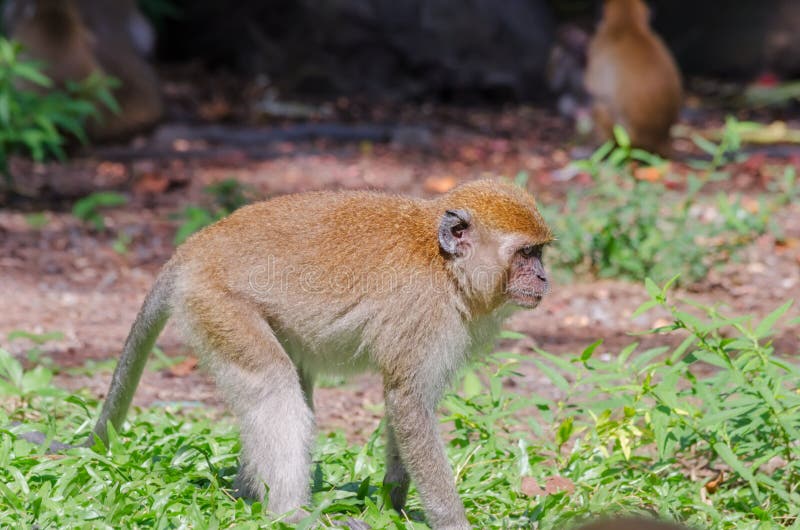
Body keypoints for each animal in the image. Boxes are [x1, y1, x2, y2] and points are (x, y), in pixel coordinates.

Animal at [93, 179, 553, 529]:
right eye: (525, 254)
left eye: (539, 253)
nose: (544, 278)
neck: (443, 265)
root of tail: (192, 249)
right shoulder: (426, 314)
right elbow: (408, 401)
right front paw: (450, 521)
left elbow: (404, 406)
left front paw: (394, 505)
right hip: (216, 304)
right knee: (274, 385)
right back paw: (291, 515)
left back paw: (248, 496)